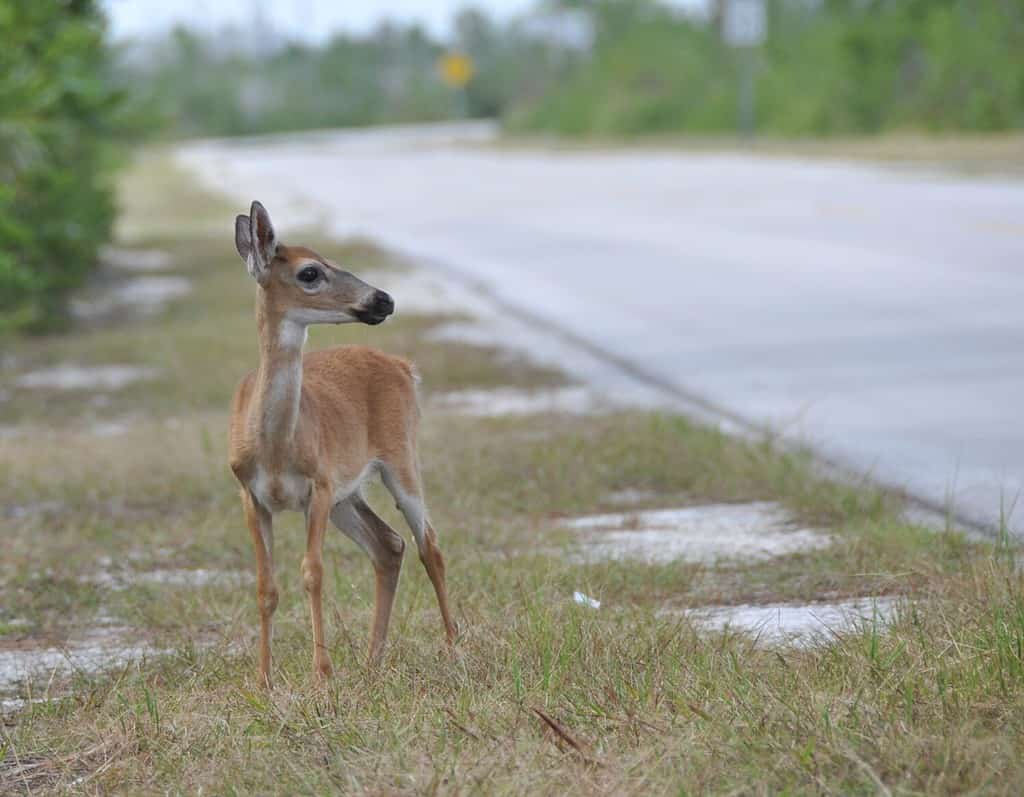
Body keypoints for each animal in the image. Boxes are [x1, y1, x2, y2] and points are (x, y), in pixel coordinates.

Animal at [229, 201, 456, 688]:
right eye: (310, 272)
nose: (383, 299)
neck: (276, 448)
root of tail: (404, 367)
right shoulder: (250, 494)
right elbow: (265, 586)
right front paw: (264, 680)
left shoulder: (319, 484)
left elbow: (313, 573)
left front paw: (322, 673)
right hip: (347, 495)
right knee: (389, 545)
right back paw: (372, 660)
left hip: (399, 456)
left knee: (429, 544)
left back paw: (453, 644)